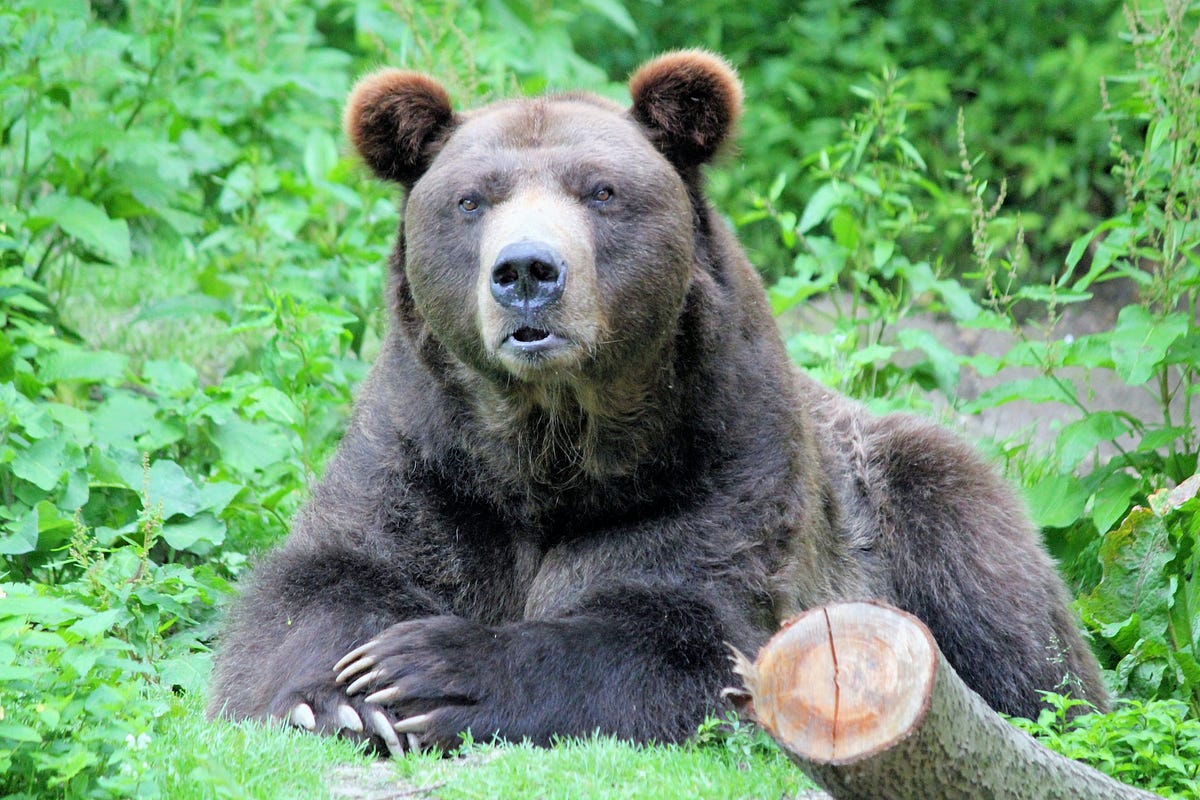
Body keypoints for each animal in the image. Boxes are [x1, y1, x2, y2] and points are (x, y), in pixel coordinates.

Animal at [207, 50, 1107, 756]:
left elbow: (683, 631)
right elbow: (326, 578)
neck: (547, 443)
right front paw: (341, 695)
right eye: (471, 200)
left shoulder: (716, 464)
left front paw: (432, 672)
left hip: (906, 492)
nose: (526, 271)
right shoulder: (425, 456)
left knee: (1006, 609)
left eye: (601, 191)